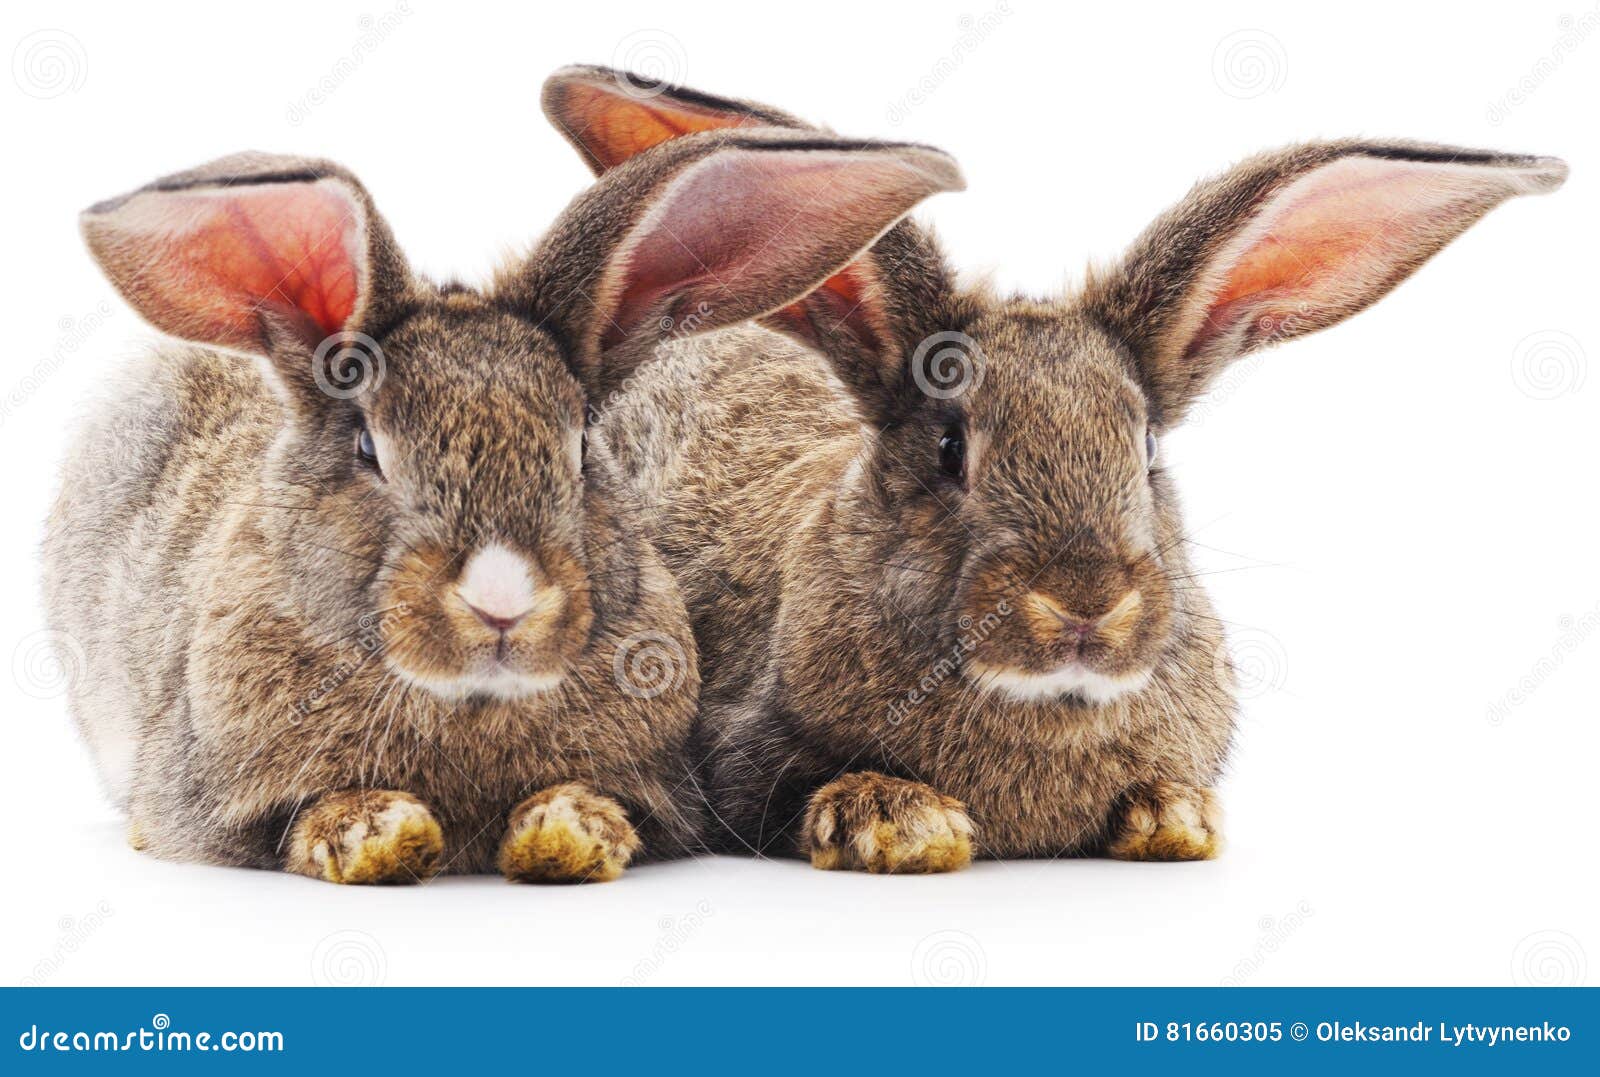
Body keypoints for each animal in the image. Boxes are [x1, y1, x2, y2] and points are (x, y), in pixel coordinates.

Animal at [41, 126, 963, 883]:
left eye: (583, 446)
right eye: (368, 449)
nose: (502, 601)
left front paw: (571, 828)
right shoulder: (207, 794)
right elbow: (294, 820)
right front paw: (377, 830)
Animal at [542, 66, 1568, 872]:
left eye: (1146, 449)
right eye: (949, 449)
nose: (1084, 601)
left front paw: (1173, 816)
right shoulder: (741, 750)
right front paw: (901, 819)